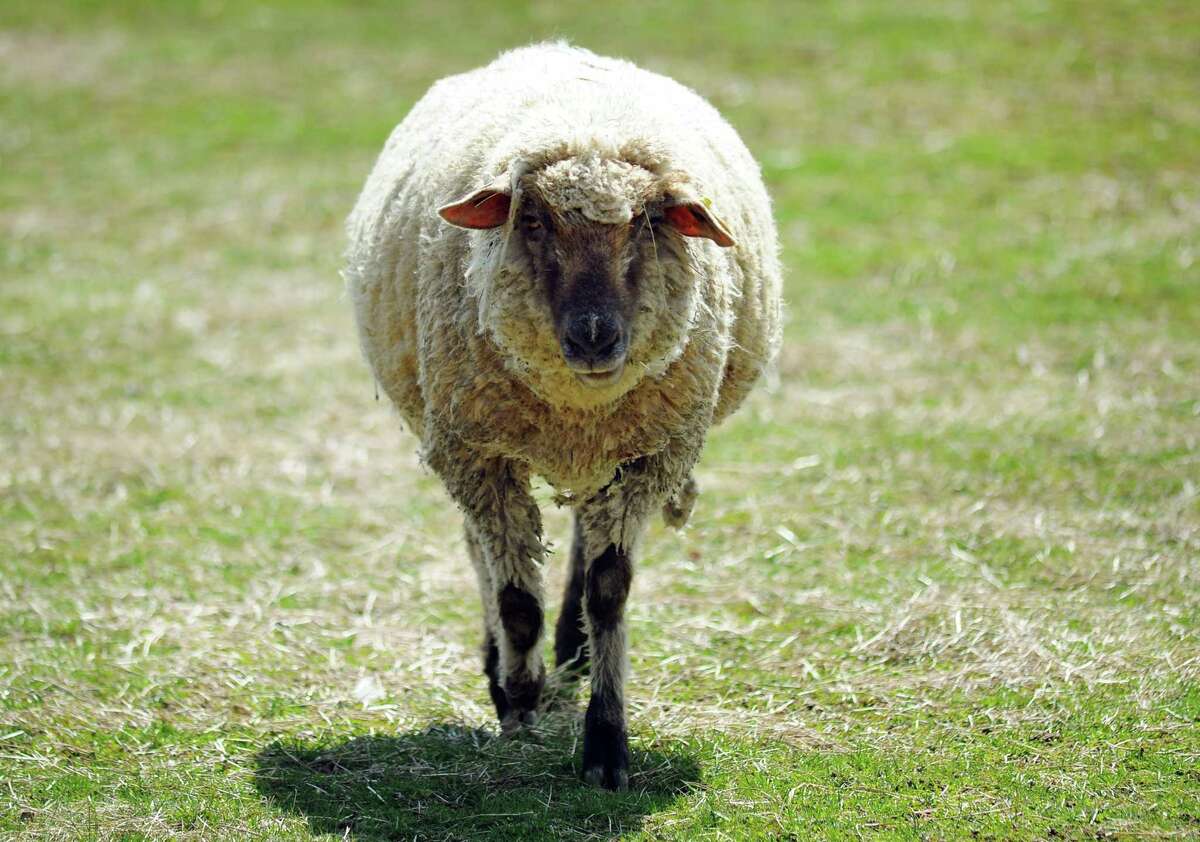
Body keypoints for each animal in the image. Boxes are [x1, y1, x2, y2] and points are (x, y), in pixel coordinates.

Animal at [345, 42, 782, 790]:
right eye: (534, 221)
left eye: (647, 222)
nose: (594, 337)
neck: (579, 404)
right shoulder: (480, 455)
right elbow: (516, 599)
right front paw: (518, 698)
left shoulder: (648, 454)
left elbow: (610, 590)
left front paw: (606, 743)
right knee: (484, 553)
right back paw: (501, 661)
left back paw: (573, 645)